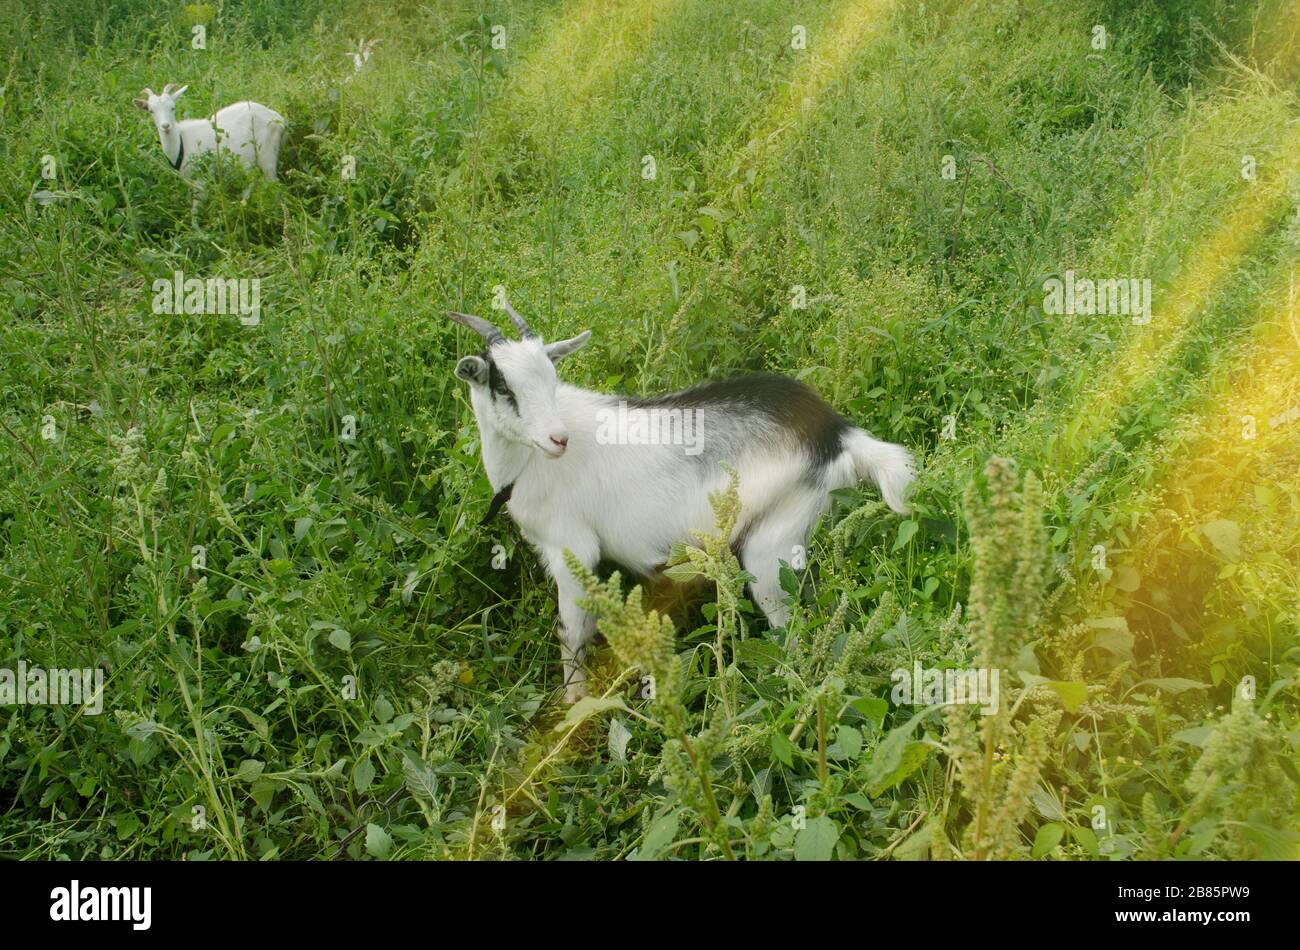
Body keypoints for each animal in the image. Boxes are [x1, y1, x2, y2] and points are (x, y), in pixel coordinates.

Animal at [133, 84, 285, 182]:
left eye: (173, 107)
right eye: (151, 111)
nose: (165, 126)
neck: (181, 142)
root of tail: (276, 116)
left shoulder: (200, 178)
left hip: (267, 153)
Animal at [448, 301, 917, 702]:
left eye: (551, 378)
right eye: (502, 385)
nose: (557, 438)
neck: (526, 462)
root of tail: (838, 433)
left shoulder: (571, 548)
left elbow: (572, 632)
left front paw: (573, 704)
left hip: (771, 548)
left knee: (793, 631)